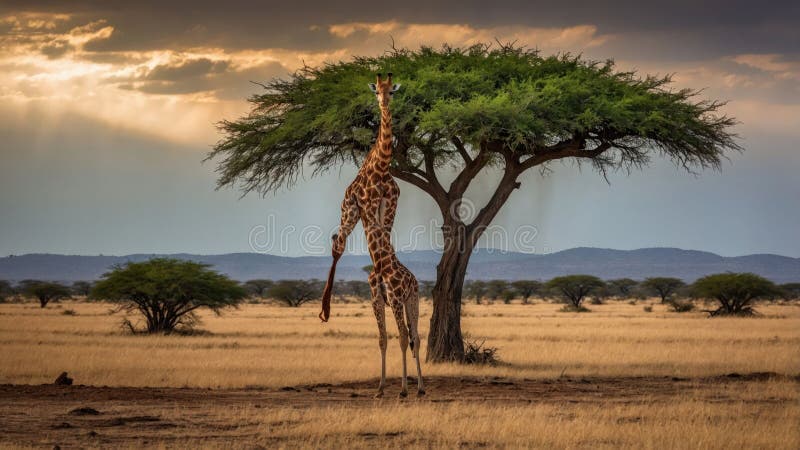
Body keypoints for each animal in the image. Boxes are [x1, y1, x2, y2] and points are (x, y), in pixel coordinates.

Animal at [318, 73, 424, 397]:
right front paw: (383, 387)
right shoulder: (369, 205)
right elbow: (385, 338)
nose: (384, 101)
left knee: (414, 335)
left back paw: (417, 387)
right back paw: (324, 309)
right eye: (377, 89)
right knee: (337, 244)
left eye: (392, 90)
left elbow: (400, 337)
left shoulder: (385, 202)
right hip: (348, 210)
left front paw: (401, 388)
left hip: (412, 300)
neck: (381, 168)